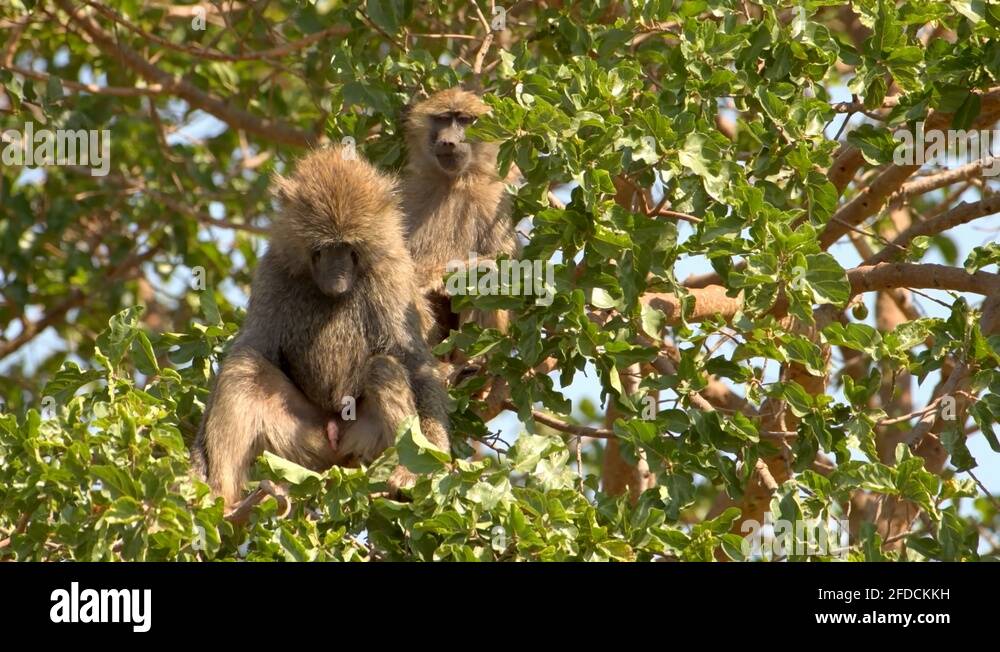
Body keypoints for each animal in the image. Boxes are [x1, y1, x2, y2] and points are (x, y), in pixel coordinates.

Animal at [191, 146, 450, 506]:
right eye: (322, 250)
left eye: (349, 249)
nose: (336, 281)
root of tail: (338, 455)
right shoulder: (274, 269)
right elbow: (253, 347)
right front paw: (197, 465)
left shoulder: (392, 273)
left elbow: (415, 362)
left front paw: (429, 462)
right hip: (303, 447)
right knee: (244, 368)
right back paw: (221, 499)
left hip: (366, 442)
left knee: (383, 368)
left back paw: (401, 473)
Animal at [401, 88, 520, 347]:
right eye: (444, 119)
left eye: (465, 120)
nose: (449, 141)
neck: (454, 182)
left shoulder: (495, 201)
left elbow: (505, 263)